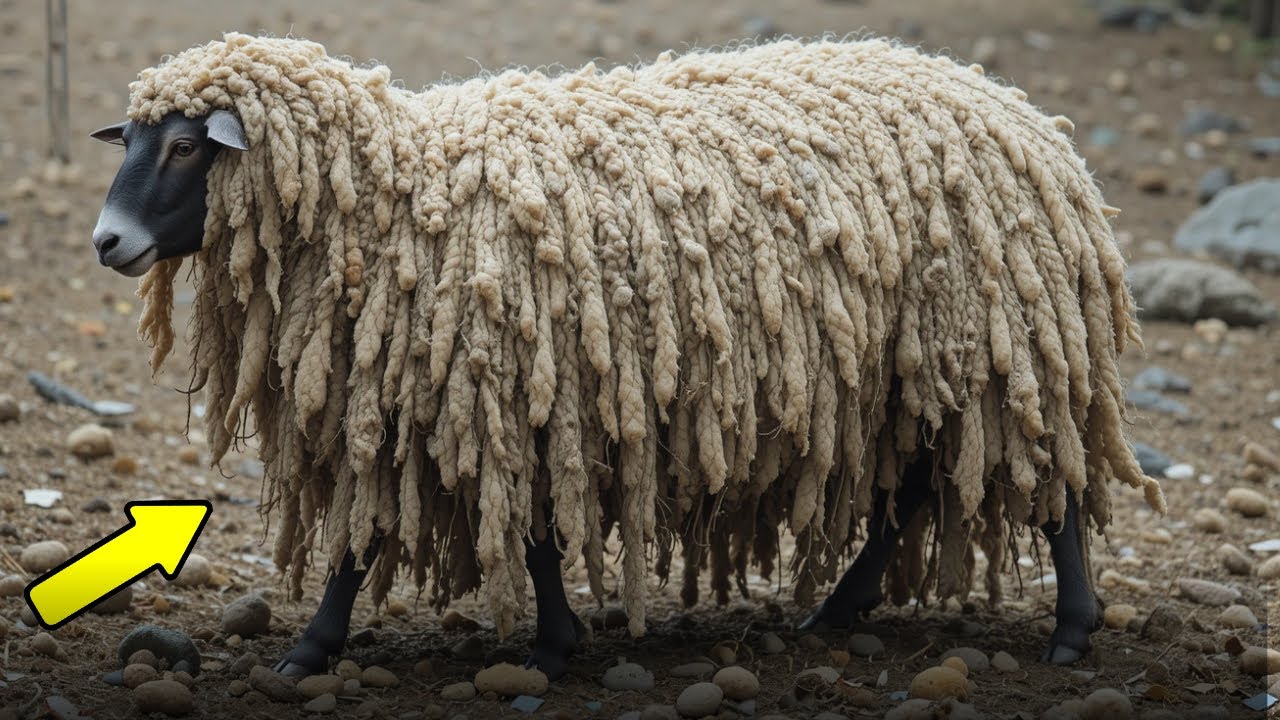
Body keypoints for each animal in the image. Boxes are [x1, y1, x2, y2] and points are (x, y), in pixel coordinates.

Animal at [90, 32, 1165, 677]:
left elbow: (382, 543)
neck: (390, 198)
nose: (106, 241)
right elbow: (507, 535)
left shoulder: (490, 389)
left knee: (1058, 495)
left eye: (185, 147)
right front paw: (554, 639)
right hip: (918, 373)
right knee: (907, 497)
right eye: (133, 139)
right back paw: (835, 615)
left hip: (1006, 351)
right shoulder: (452, 399)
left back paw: (1072, 632)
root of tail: (1031, 122)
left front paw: (313, 650)